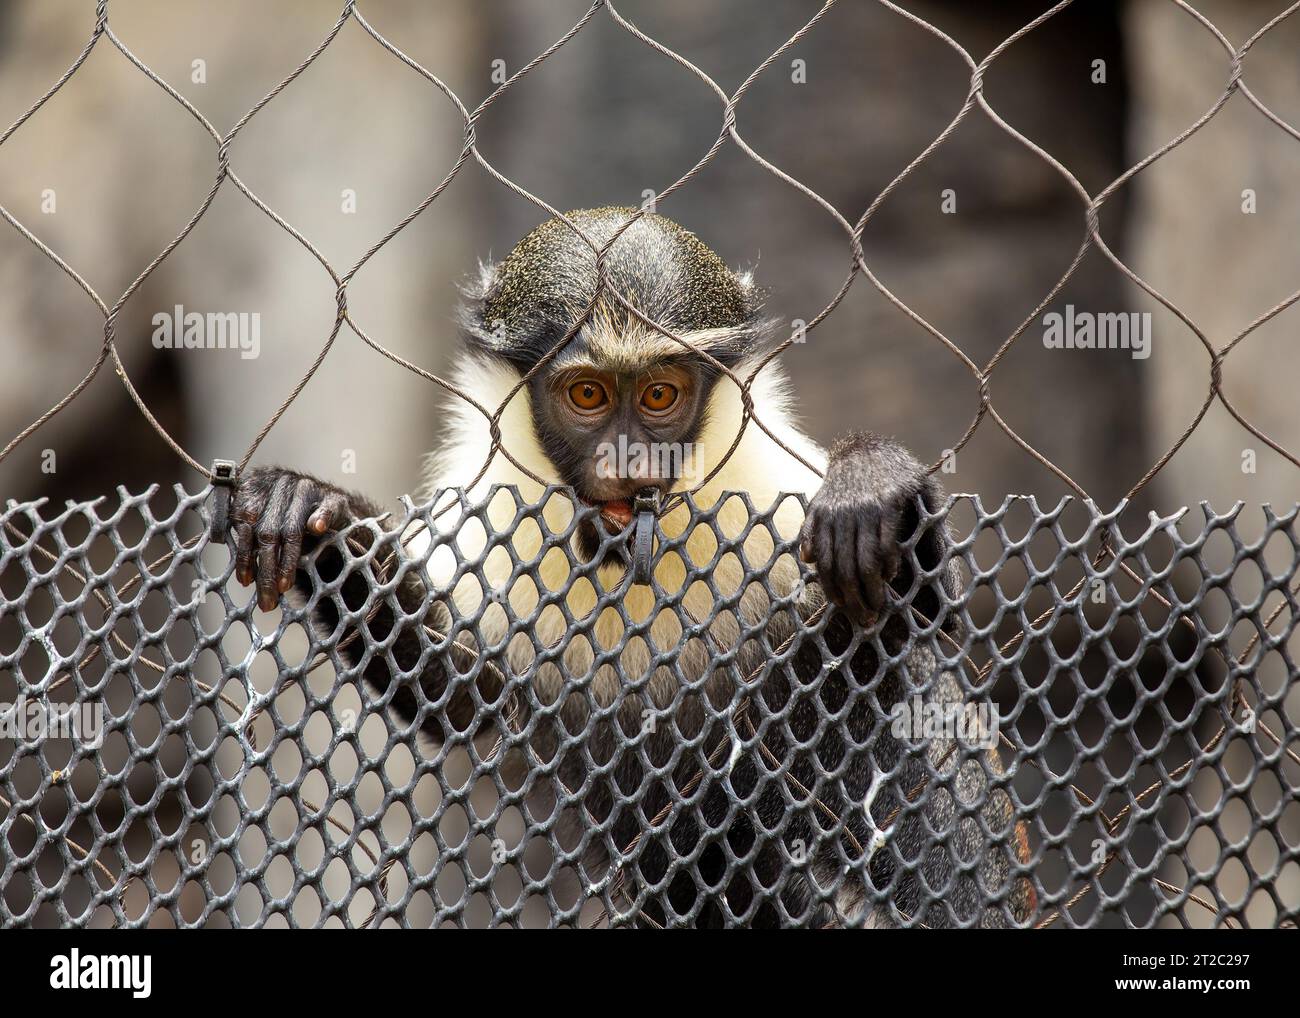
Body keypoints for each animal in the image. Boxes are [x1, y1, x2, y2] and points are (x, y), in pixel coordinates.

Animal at [228, 207, 1034, 928]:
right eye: (588, 393)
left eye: (659, 394)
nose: (628, 463)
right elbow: (460, 694)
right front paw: (311, 510)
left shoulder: (773, 500)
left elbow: (928, 624)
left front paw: (873, 484)